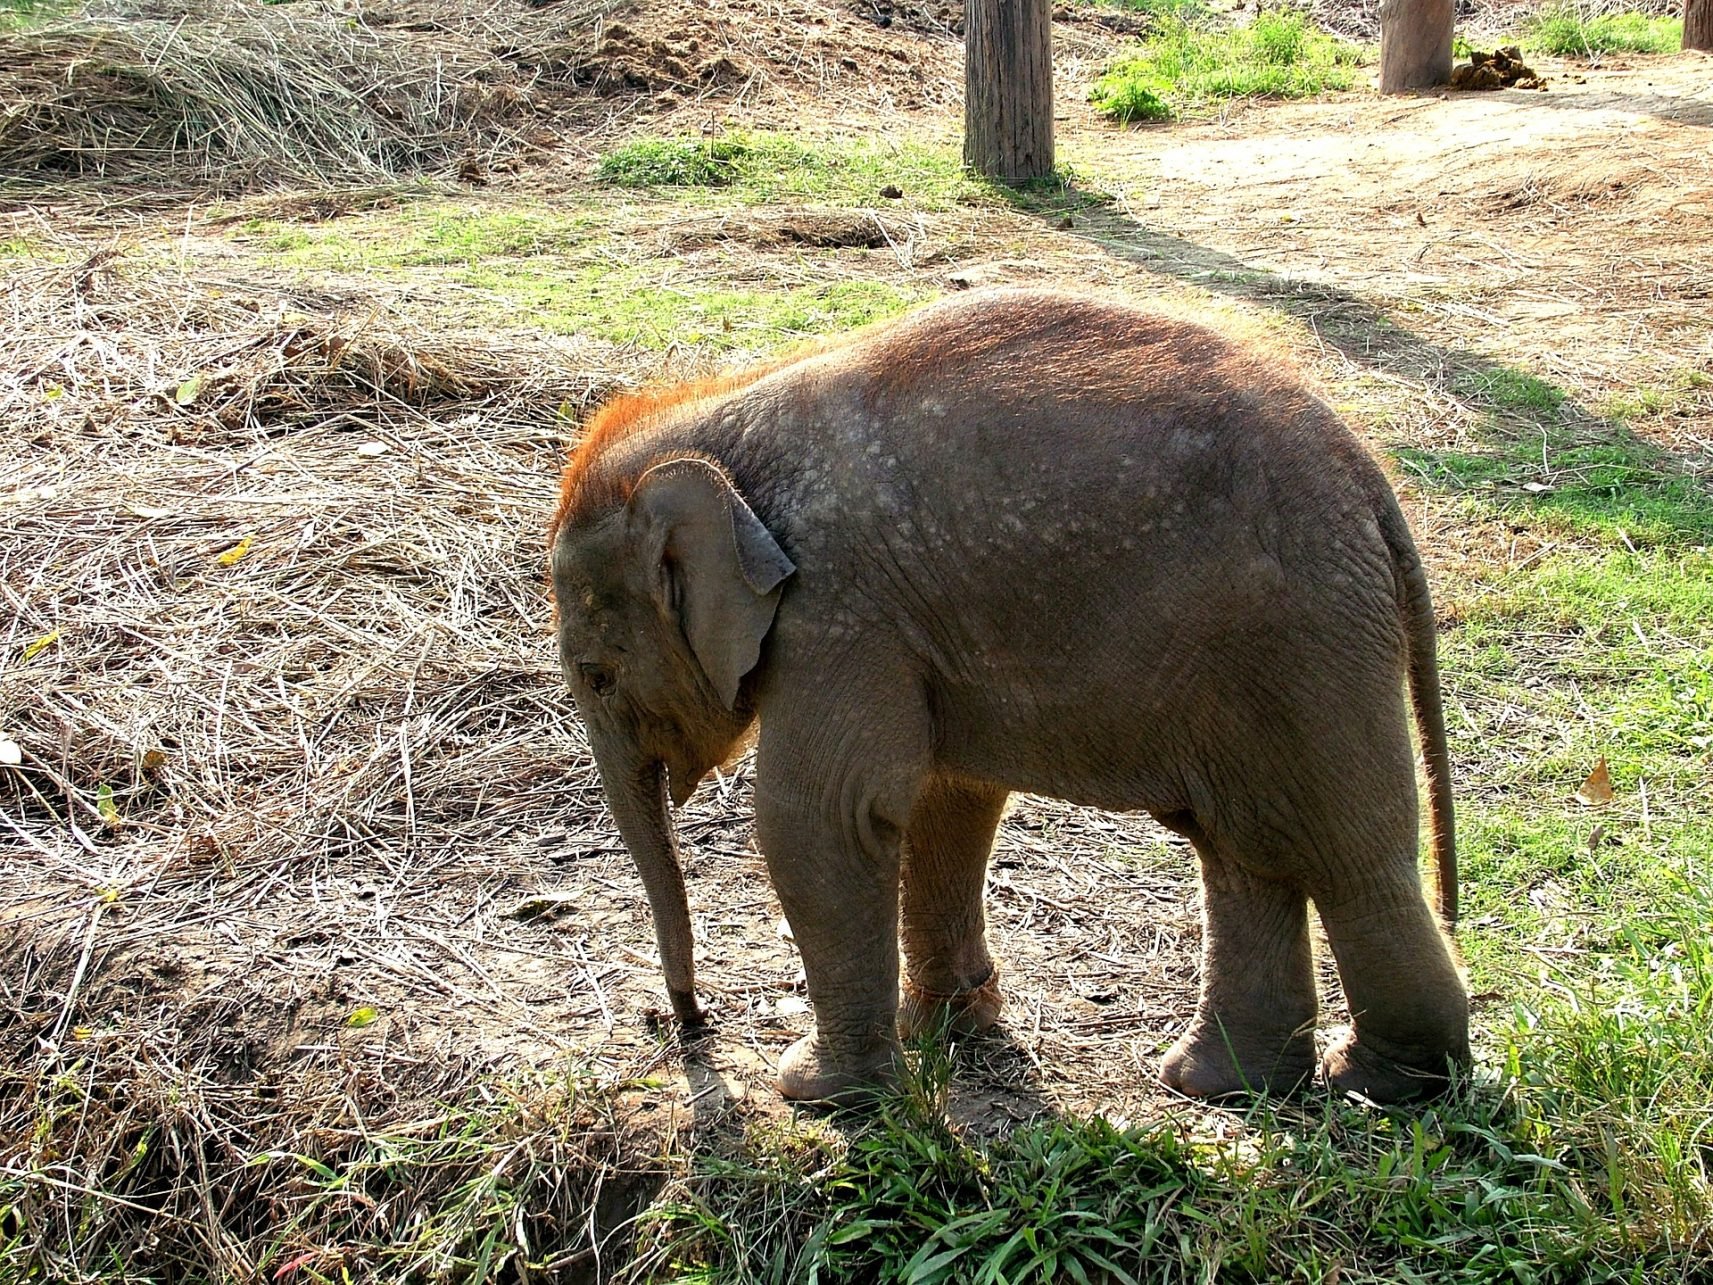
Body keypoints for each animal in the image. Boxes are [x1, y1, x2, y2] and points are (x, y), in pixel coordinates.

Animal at [548, 289, 1473, 1110]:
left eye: (596, 674)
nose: (689, 1024)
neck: (723, 427)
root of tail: (1372, 483)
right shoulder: (912, 626)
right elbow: (945, 797)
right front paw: (943, 1033)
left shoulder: (839, 612)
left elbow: (823, 817)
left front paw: (816, 1092)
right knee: (1244, 850)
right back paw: (1217, 1084)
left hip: (1301, 637)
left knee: (1347, 858)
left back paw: (1385, 1085)